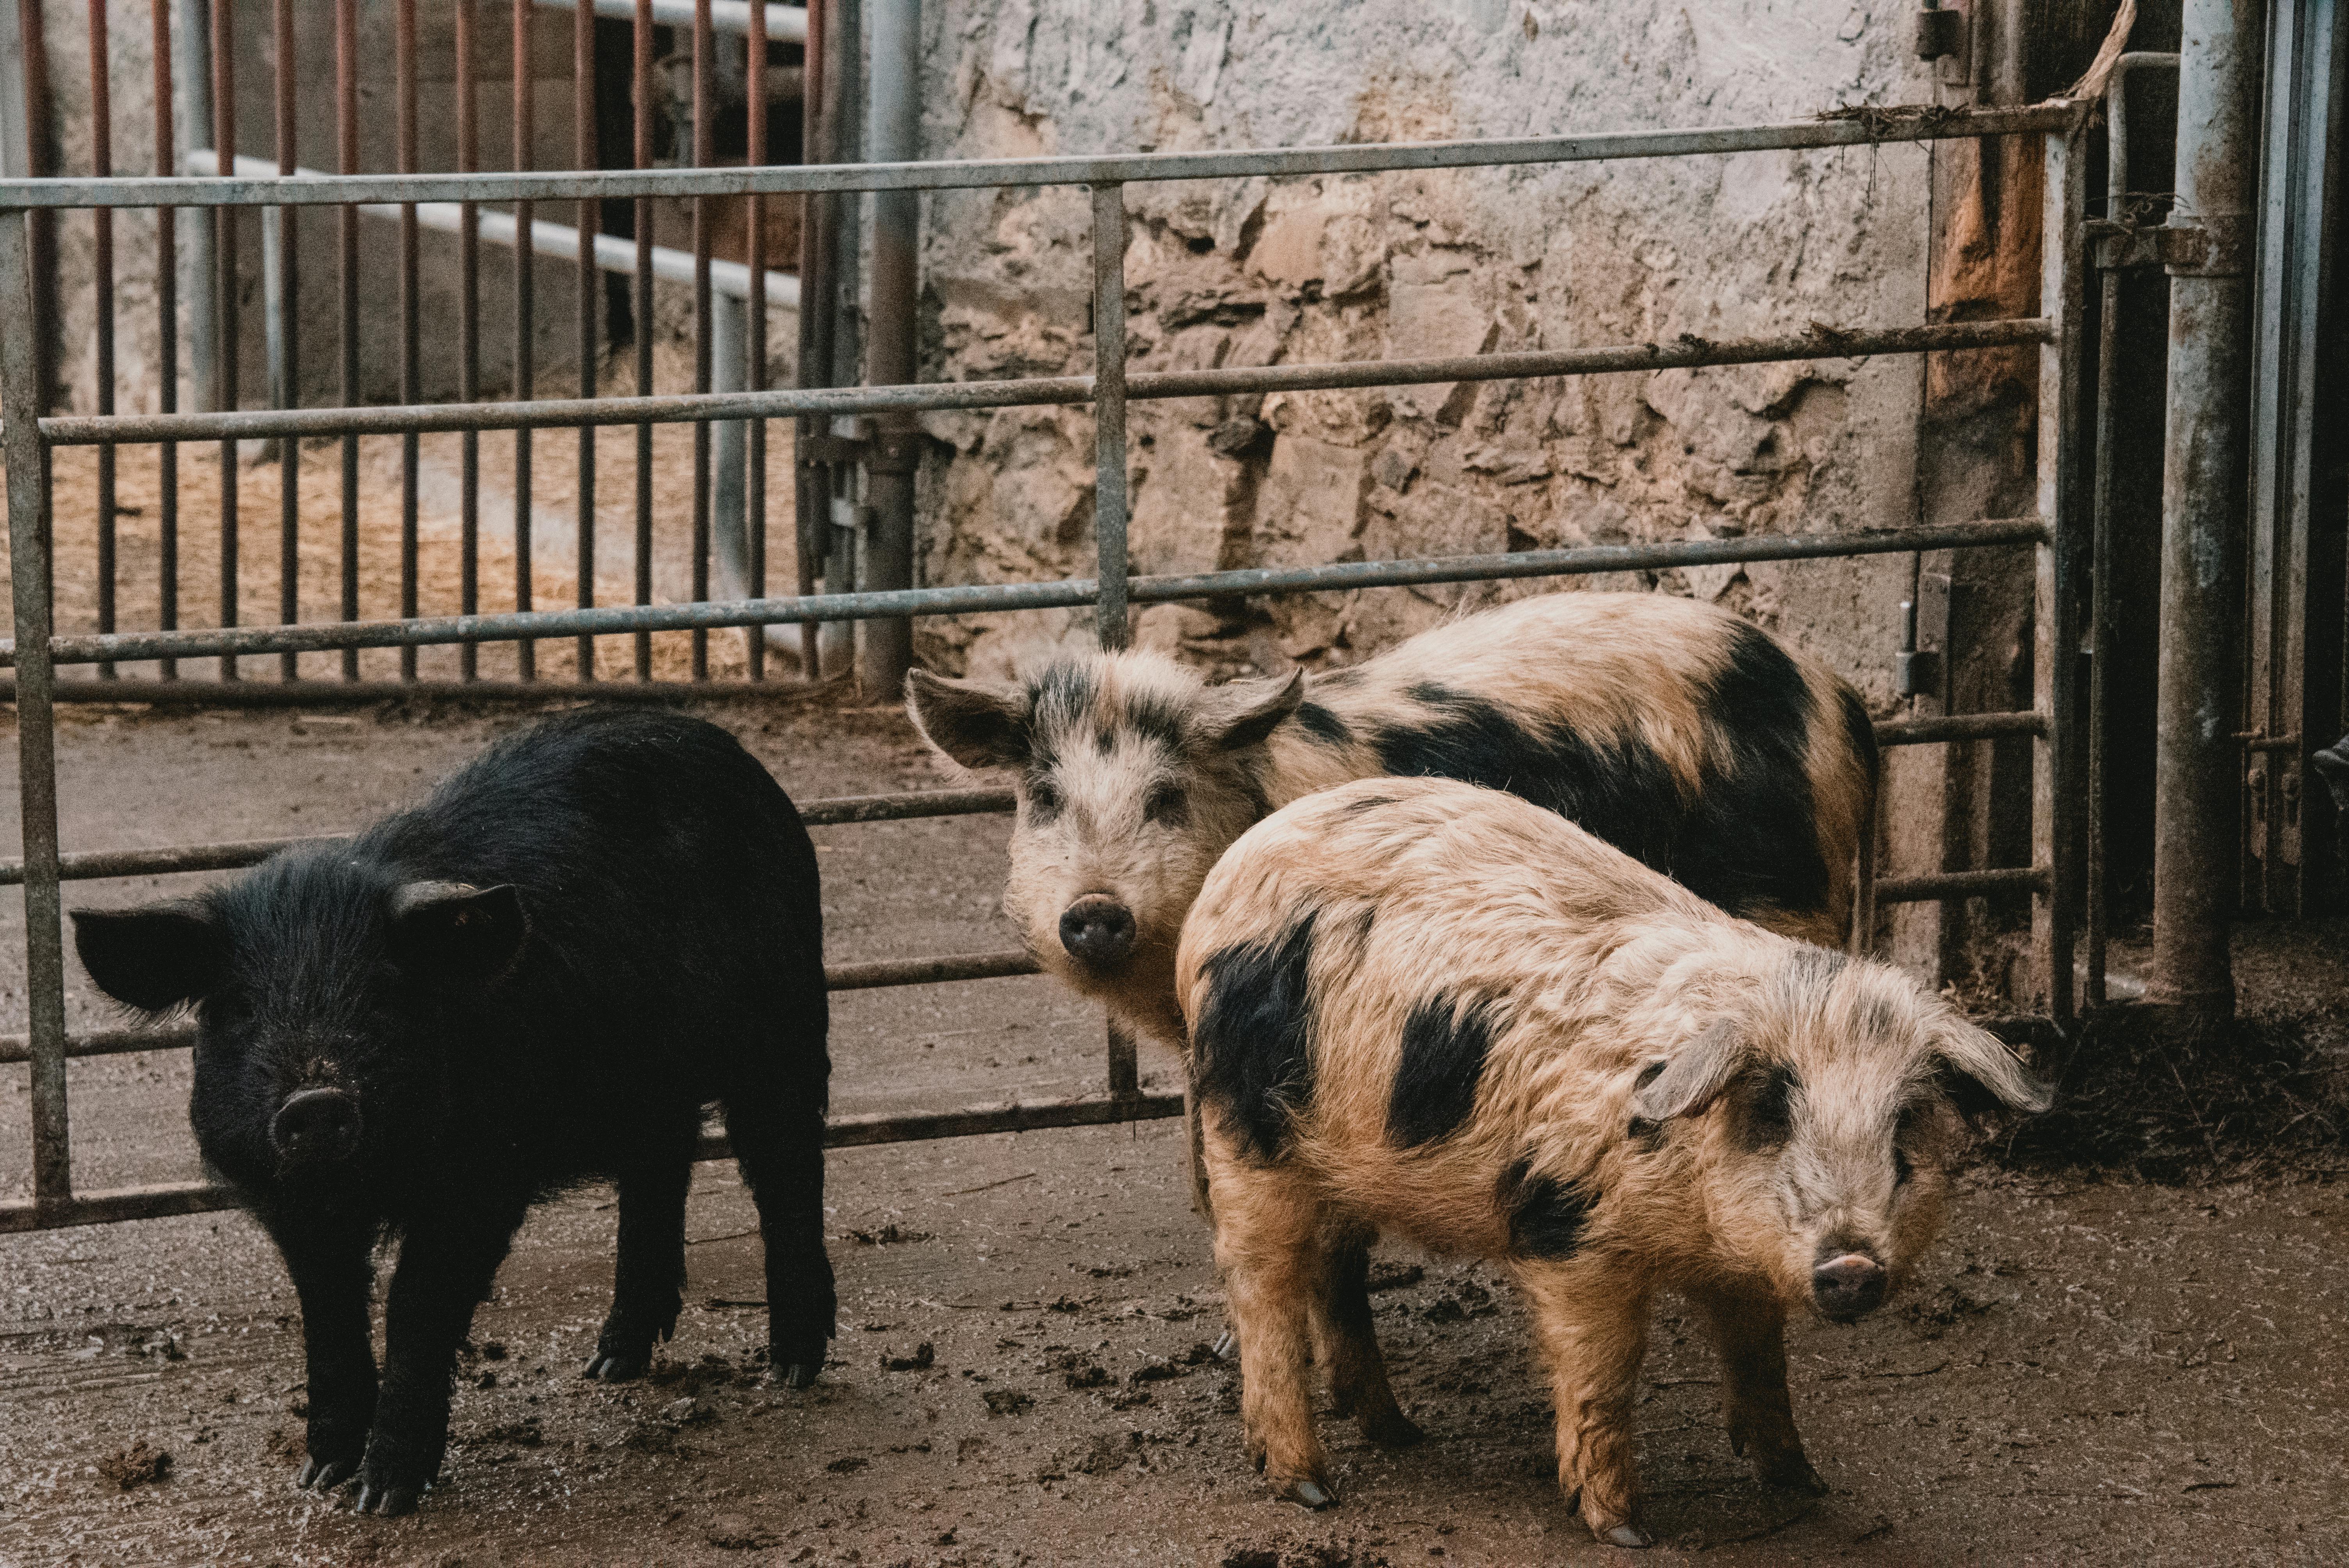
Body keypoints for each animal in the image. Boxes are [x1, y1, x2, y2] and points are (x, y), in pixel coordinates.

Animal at [70, 708, 835, 1517]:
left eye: (382, 992)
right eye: (242, 1004)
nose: (316, 1100)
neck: (366, 1183)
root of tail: (730, 751)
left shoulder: (482, 1177)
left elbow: (416, 1306)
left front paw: (384, 1497)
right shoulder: (285, 1196)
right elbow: (327, 1313)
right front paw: (321, 1474)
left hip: (785, 1022)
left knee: (787, 1170)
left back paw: (790, 1369)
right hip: (649, 1084)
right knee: (659, 1172)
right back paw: (610, 1364)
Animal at [1174, 777, 2049, 1547]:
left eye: (1902, 1128)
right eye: (1773, 1111)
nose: (1852, 1266)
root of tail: (1215, 893)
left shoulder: (1739, 1269)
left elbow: (1759, 1352)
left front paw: (1802, 1482)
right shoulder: (1571, 1234)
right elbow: (1603, 1370)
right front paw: (1626, 1529)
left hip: (1342, 1161)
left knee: (1337, 1269)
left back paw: (1399, 1433)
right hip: (1245, 1133)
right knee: (1261, 1280)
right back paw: (1310, 1487)